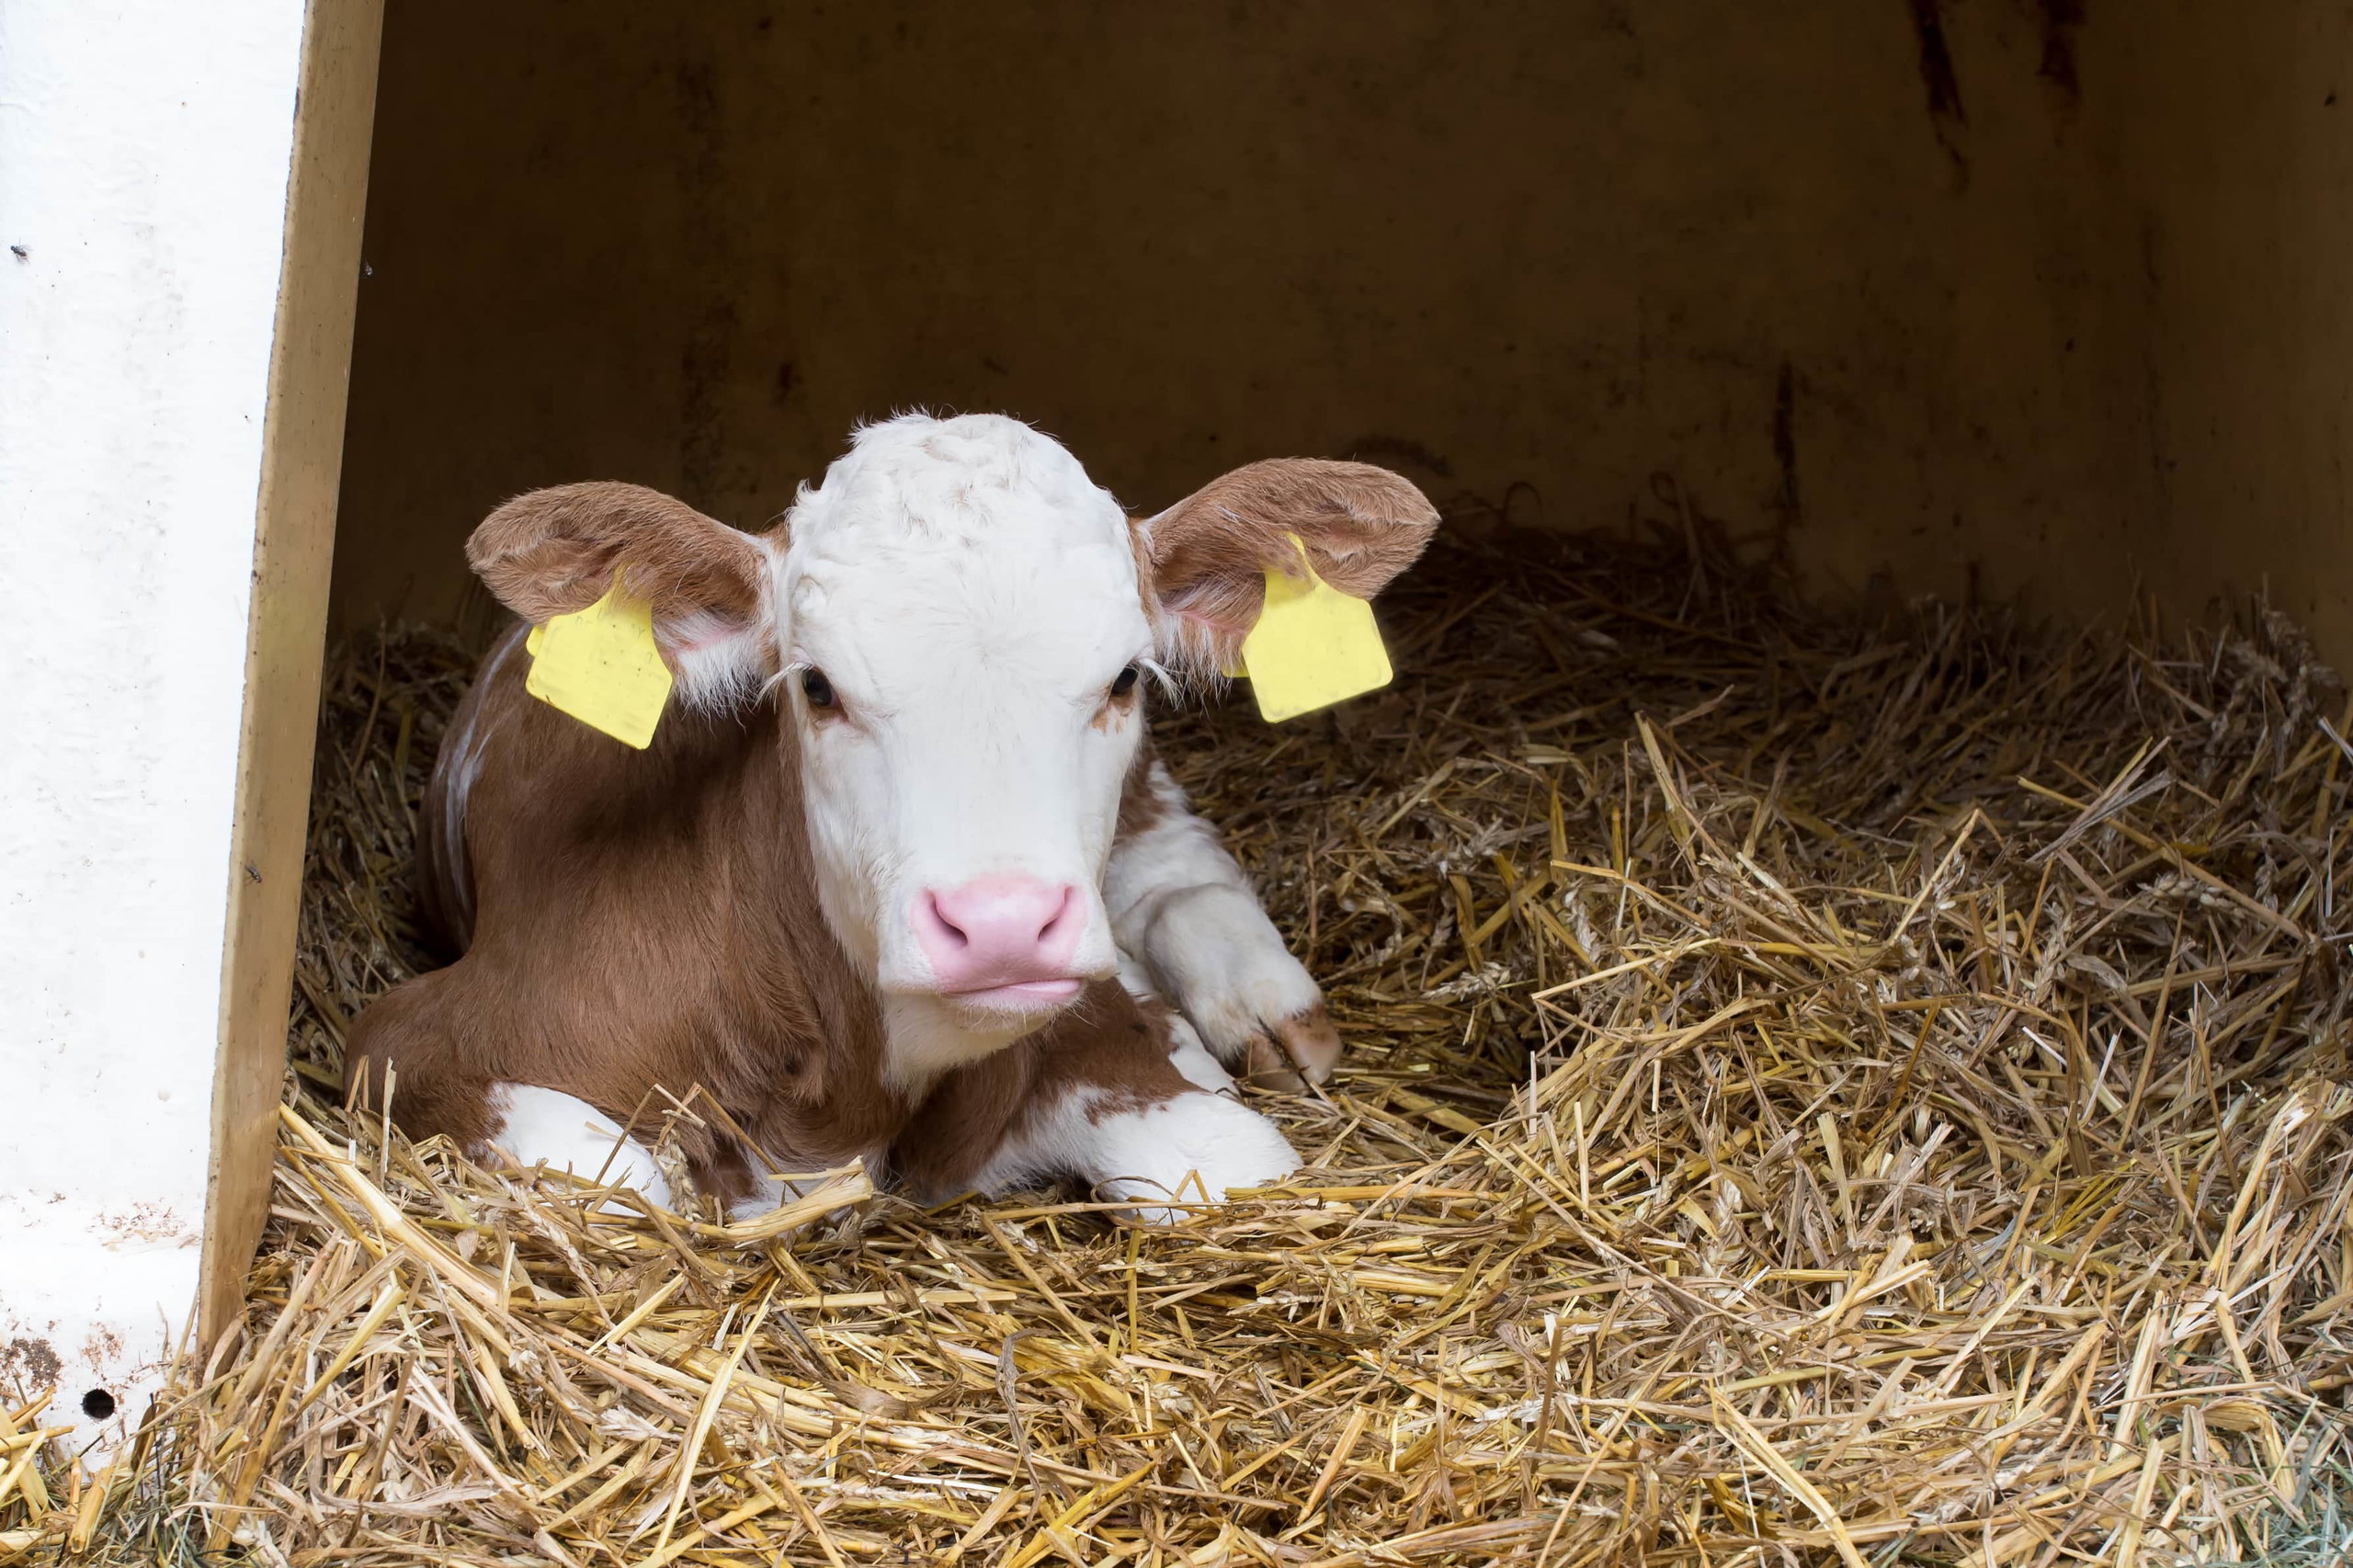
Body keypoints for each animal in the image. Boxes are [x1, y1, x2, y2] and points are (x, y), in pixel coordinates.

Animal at [347, 413, 1437, 1222]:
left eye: (1125, 676)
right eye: (816, 686)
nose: (1002, 923)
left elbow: (1231, 1162)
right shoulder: (411, 1035)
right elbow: (616, 1177)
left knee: (1175, 868)